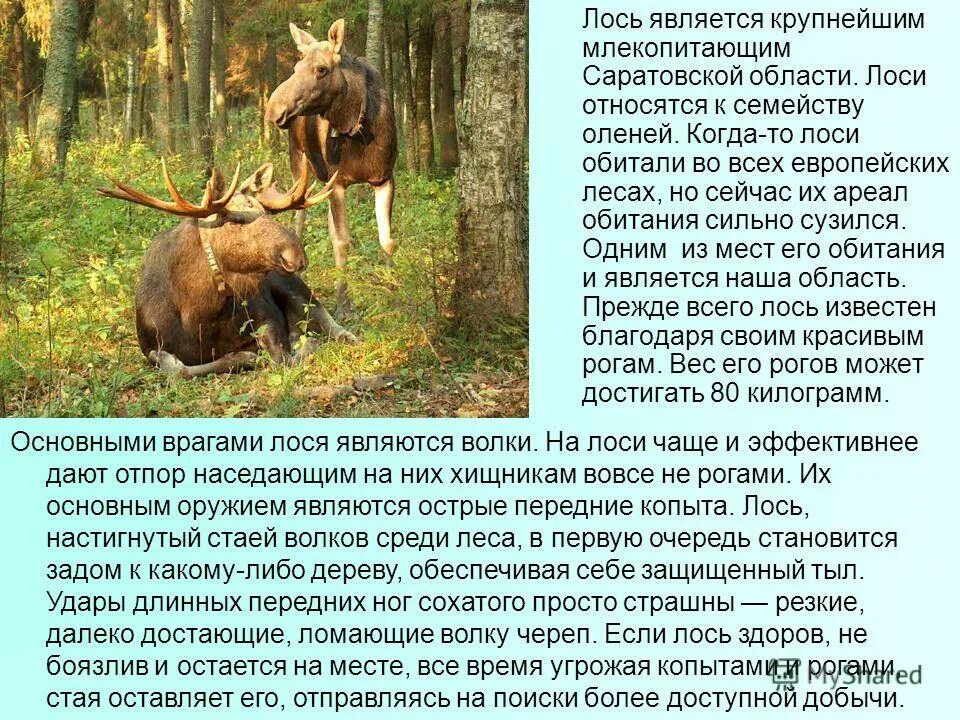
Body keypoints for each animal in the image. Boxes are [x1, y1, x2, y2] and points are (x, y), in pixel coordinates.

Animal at [97, 160, 357, 378]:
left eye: (266, 213)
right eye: (232, 220)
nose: (295, 254)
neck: (199, 316)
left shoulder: (266, 315)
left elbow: (282, 357)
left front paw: (299, 345)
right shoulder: (150, 346)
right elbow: (178, 370)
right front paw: (241, 356)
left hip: (294, 288)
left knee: (333, 325)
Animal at [265, 18, 398, 316]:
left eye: (321, 69)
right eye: (295, 67)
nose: (273, 109)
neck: (358, 129)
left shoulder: (385, 178)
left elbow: (387, 239)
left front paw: (393, 286)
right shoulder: (338, 183)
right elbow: (342, 241)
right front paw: (343, 303)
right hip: (298, 165)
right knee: (298, 220)